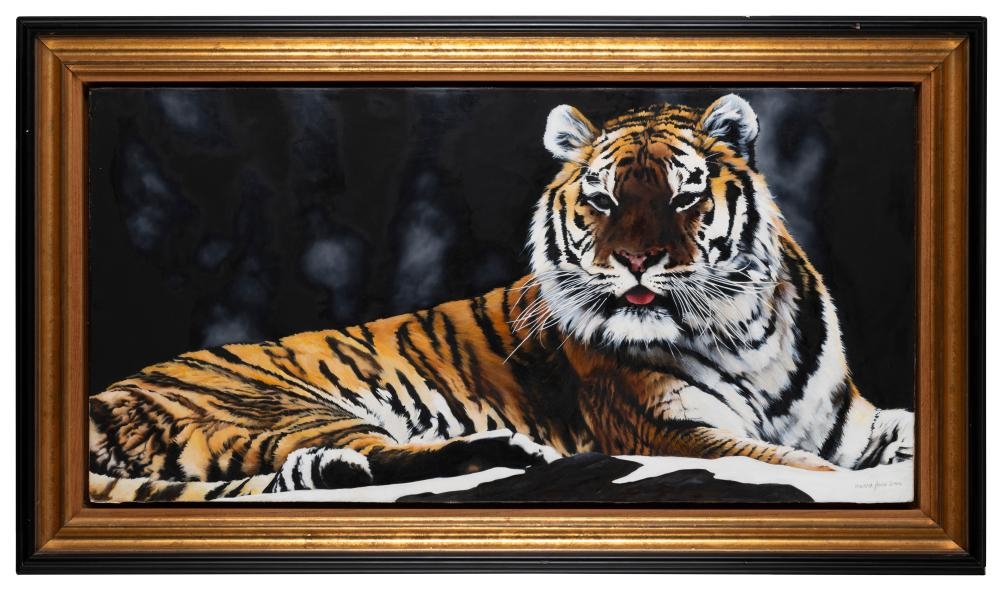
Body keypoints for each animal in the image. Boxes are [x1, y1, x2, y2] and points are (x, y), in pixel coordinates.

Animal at [89, 94, 914, 502]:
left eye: (684, 195)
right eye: (603, 199)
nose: (635, 260)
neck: (744, 331)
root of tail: (102, 397)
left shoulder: (852, 421)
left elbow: (886, 438)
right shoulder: (676, 433)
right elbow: (807, 470)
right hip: (285, 406)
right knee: (375, 456)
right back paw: (511, 452)